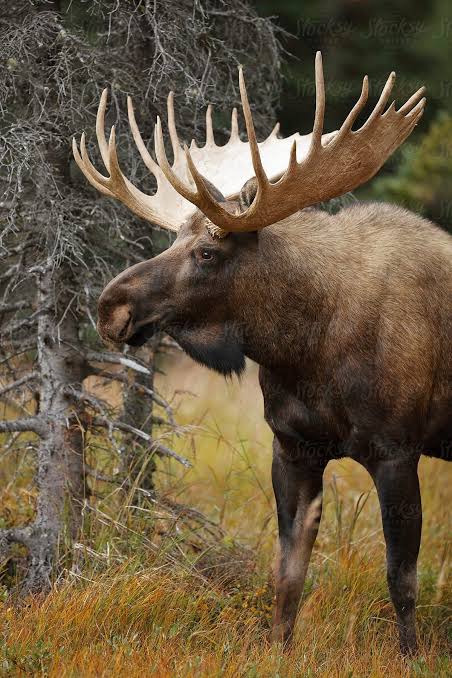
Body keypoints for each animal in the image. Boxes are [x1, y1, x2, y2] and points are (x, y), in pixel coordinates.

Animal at [73, 52, 452, 655]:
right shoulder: (292, 446)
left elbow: (402, 577)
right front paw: (279, 647)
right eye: (172, 241)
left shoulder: (398, 449)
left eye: (207, 252)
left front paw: (411, 655)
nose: (111, 307)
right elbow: (287, 571)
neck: (307, 348)